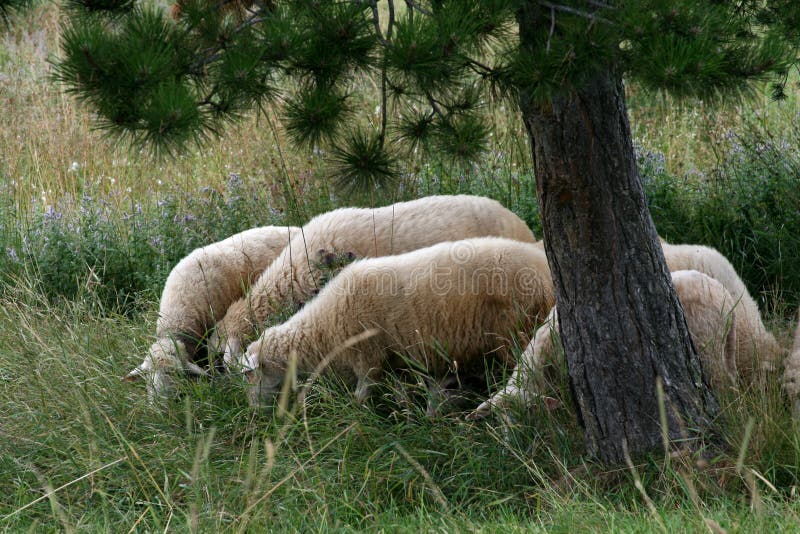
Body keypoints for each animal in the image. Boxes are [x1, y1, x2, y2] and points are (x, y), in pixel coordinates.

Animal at [239, 237, 555, 408]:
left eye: (249, 375)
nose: (252, 410)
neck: (323, 327)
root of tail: (544, 271)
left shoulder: (368, 357)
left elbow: (361, 396)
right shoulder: (396, 360)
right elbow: (402, 396)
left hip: (516, 329)